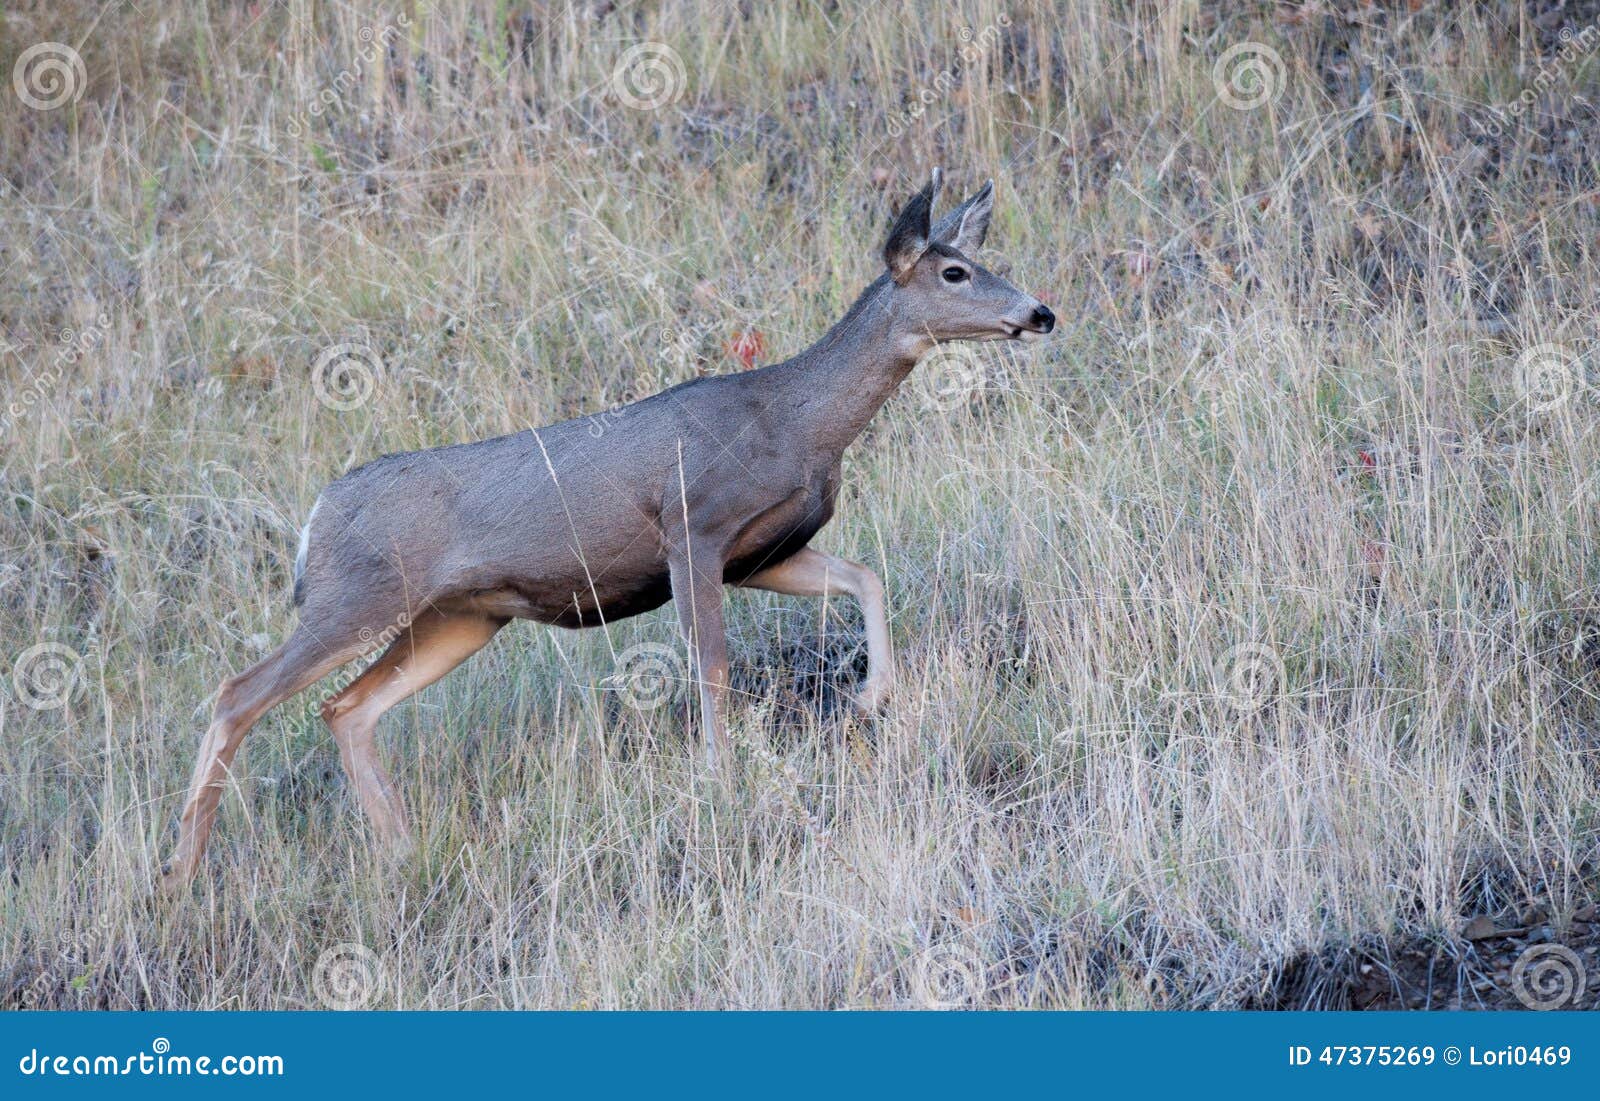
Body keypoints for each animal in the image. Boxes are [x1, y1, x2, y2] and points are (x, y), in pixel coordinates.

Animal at [160, 169, 1054, 889]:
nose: (1040, 311)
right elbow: (712, 667)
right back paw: (182, 869)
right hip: (357, 594)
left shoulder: (762, 552)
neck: (798, 424)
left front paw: (872, 695)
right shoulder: (692, 527)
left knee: (347, 708)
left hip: (458, 617)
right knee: (239, 693)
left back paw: (401, 847)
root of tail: (315, 519)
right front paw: (722, 782)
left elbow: (864, 576)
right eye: (956, 270)